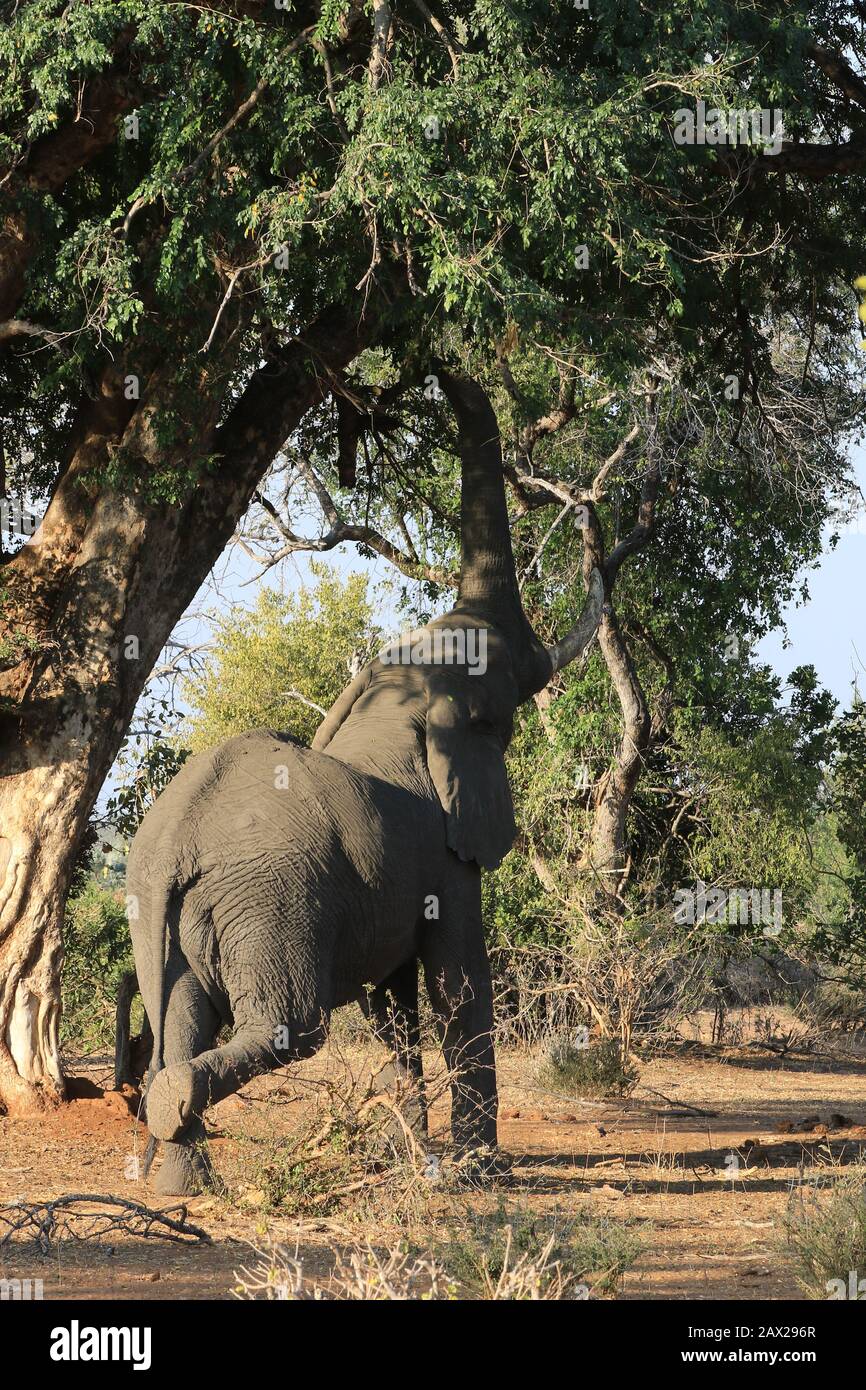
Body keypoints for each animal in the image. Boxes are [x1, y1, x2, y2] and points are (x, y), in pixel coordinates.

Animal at [126, 368, 604, 1195]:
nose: (439, 362)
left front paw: (412, 1159)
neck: (394, 712)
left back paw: (183, 1183)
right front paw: (476, 1174)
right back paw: (180, 1124)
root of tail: (173, 842)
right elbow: (456, 987)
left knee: (180, 1022)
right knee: (288, 1025)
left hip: (174, 916)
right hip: (268, 898)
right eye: (505, 695)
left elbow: (394, 1008)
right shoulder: (446, 858)